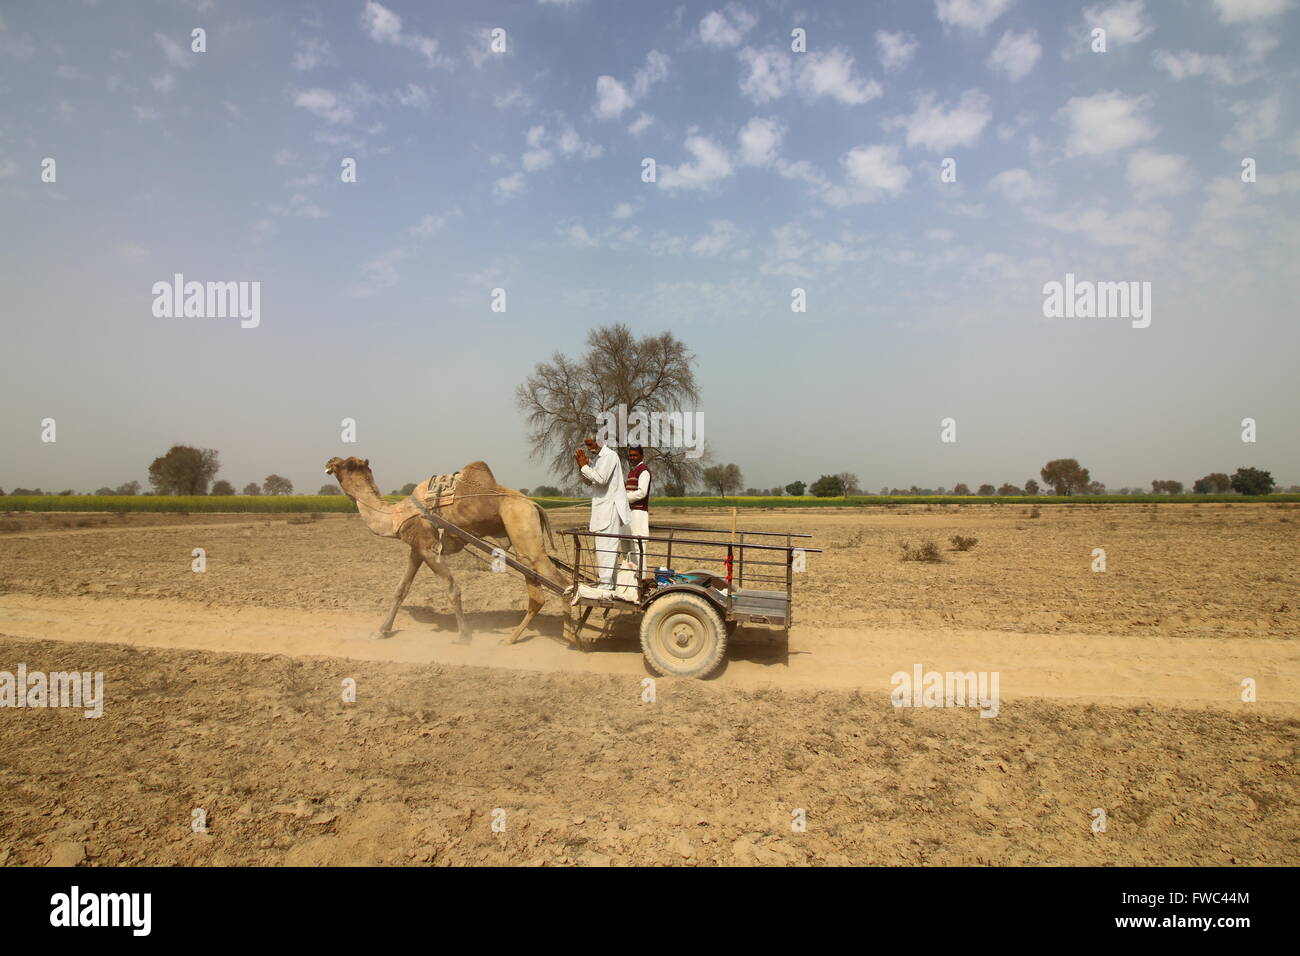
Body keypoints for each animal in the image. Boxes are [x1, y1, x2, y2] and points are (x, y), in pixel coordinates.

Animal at [324, 456, 560, 645]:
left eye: (343, 464)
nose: (329, 461)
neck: (395, 516)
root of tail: (535, 505)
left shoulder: (430, 548)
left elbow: (452, 588)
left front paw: (463, 636)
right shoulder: (417, 549)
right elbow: (401, 589)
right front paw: (381, 631)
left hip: (523, 529)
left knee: (558, 584)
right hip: (522, 542)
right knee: (543, 588)